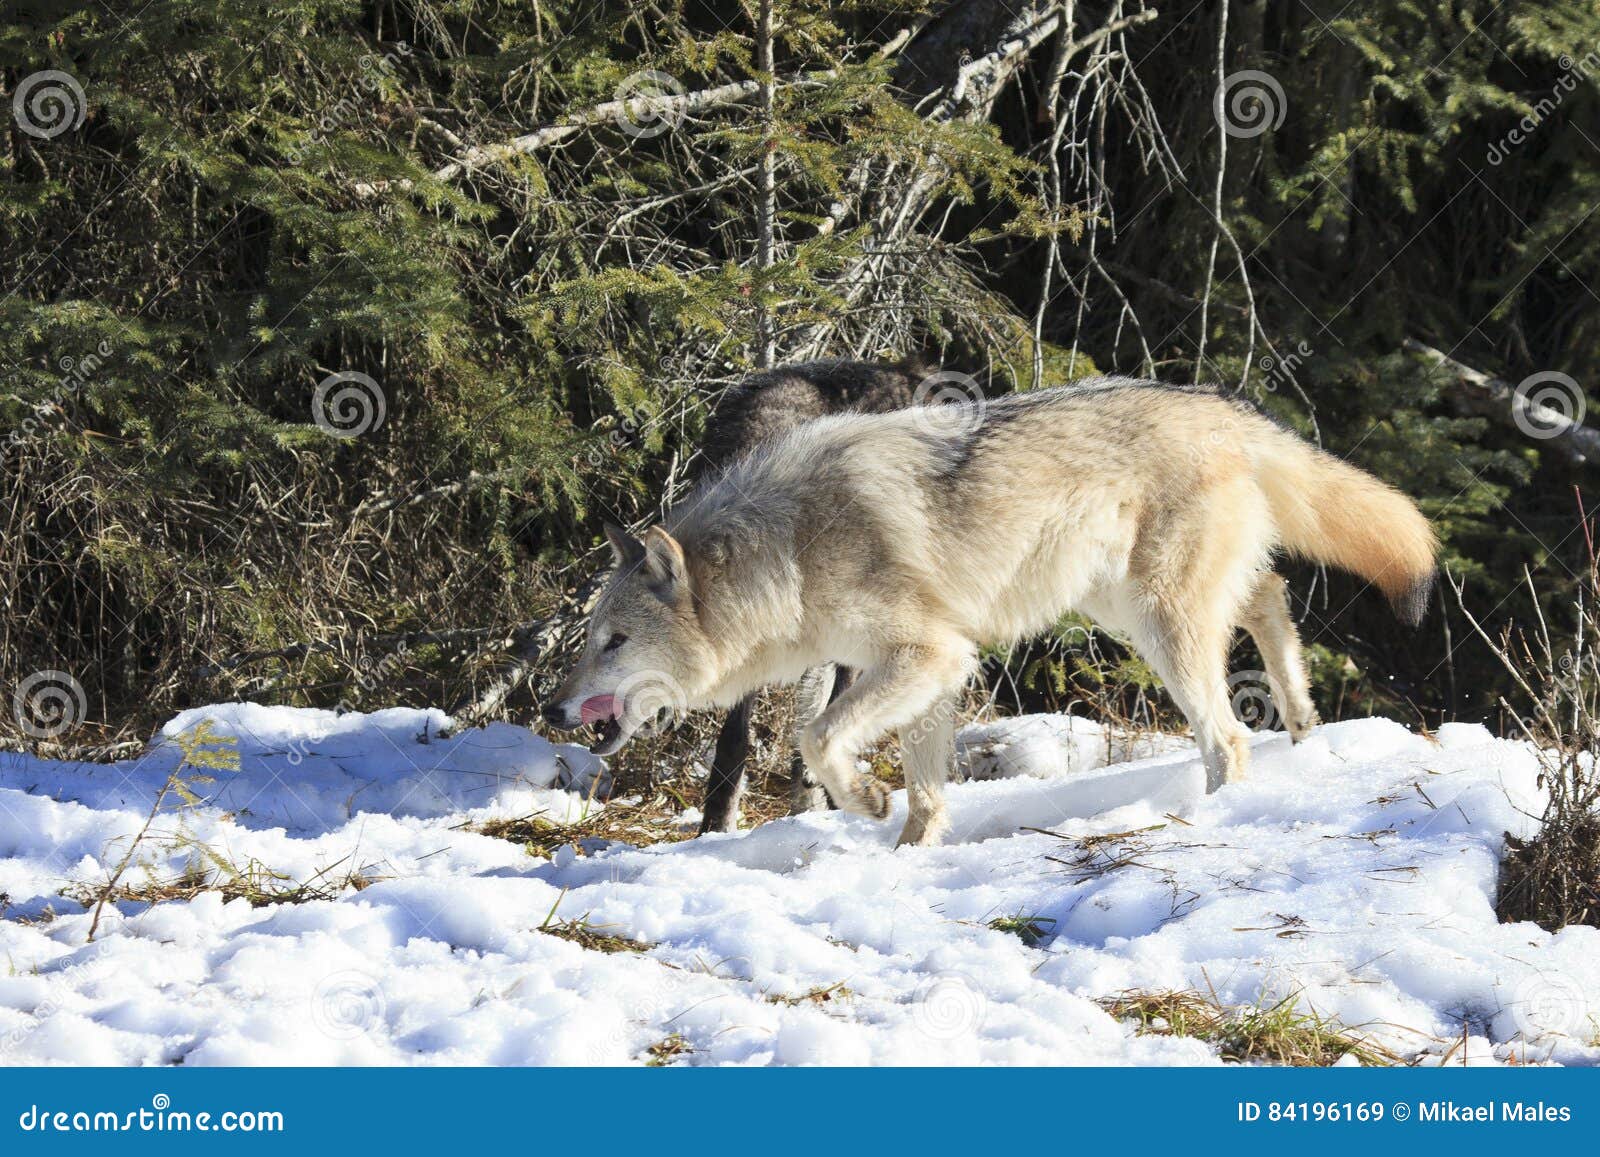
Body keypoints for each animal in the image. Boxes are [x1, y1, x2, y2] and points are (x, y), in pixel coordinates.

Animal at [544, 379, 1437, 848]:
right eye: (587, 641)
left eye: (614, 642)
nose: (550, 708)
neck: (788, 549)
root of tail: (1223, 408)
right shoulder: (931, 668)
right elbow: (925, 787)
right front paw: (908, 851)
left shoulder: (931, 656)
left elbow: (819, 738)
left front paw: (867, 804)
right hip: (1127, 605)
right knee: (1271, 598)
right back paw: (1304, 722)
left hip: (1160, 625)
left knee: (1227, 734)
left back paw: (1213, 814)